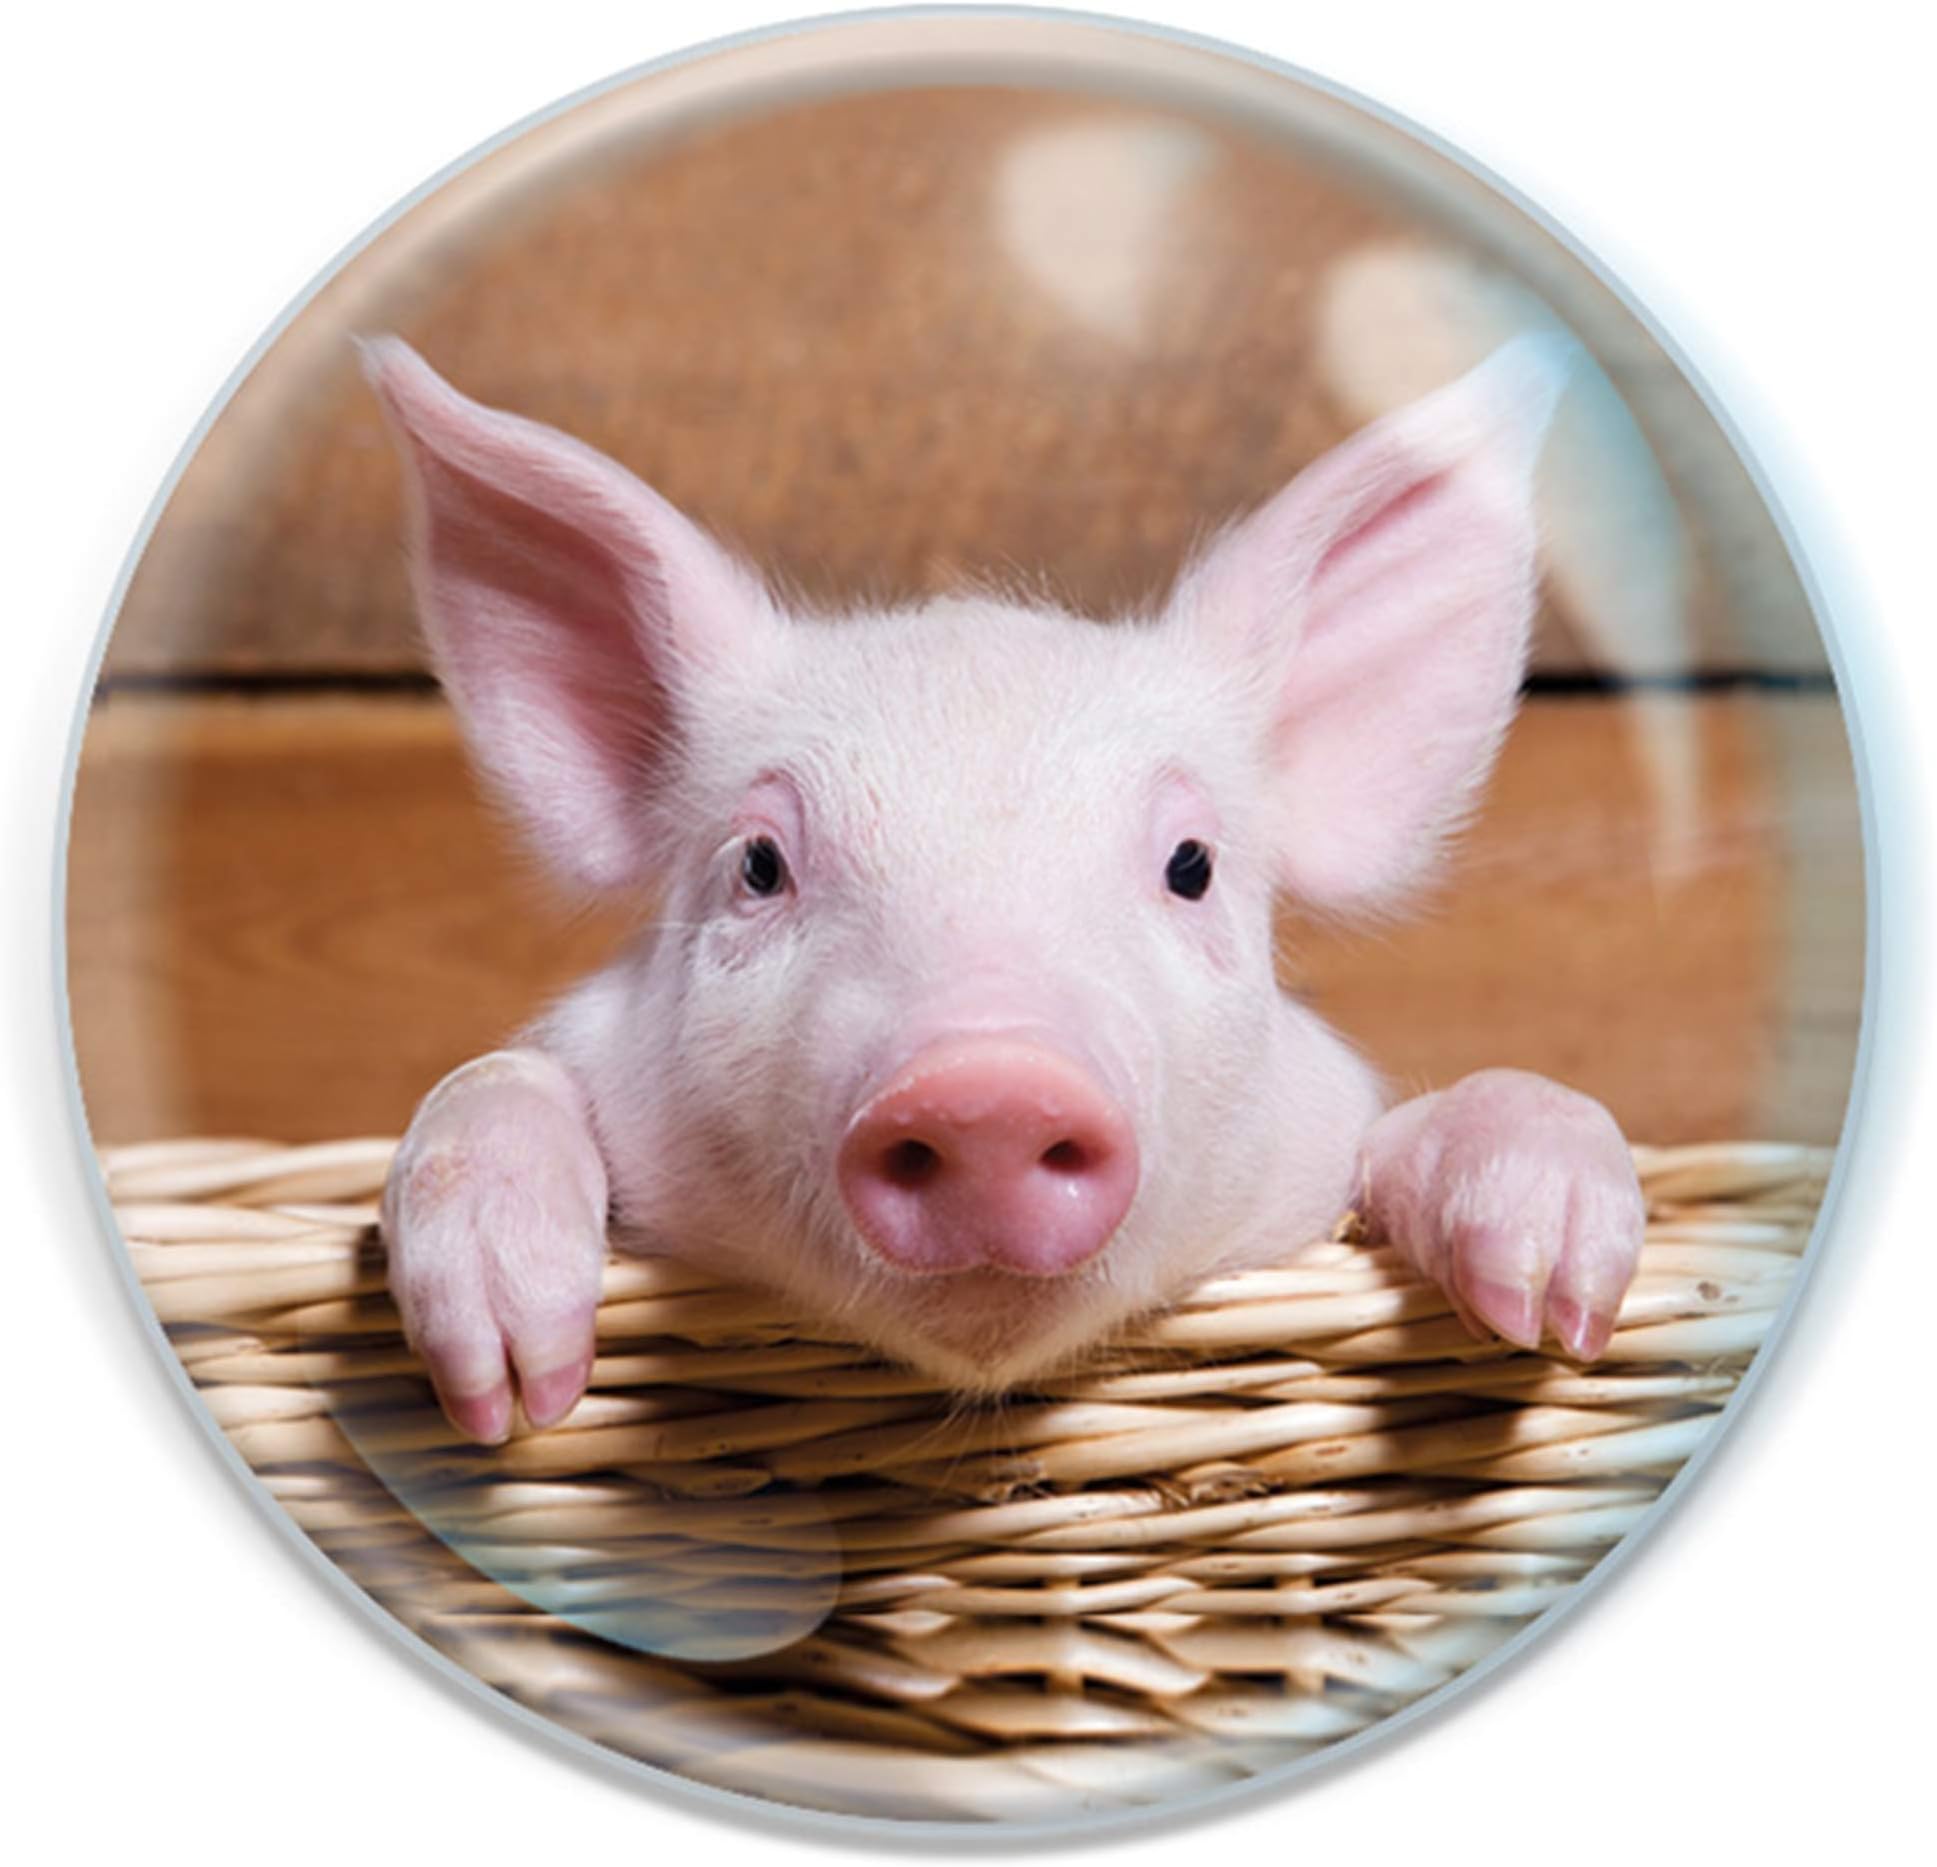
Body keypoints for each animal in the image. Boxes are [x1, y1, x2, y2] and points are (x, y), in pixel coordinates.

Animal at [365, 333, 1646, 1446]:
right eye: (760, 864)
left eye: (1190, 865)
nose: (986, 1090)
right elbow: (490, 1087)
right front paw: (510, 1396)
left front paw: (1549, 1305)